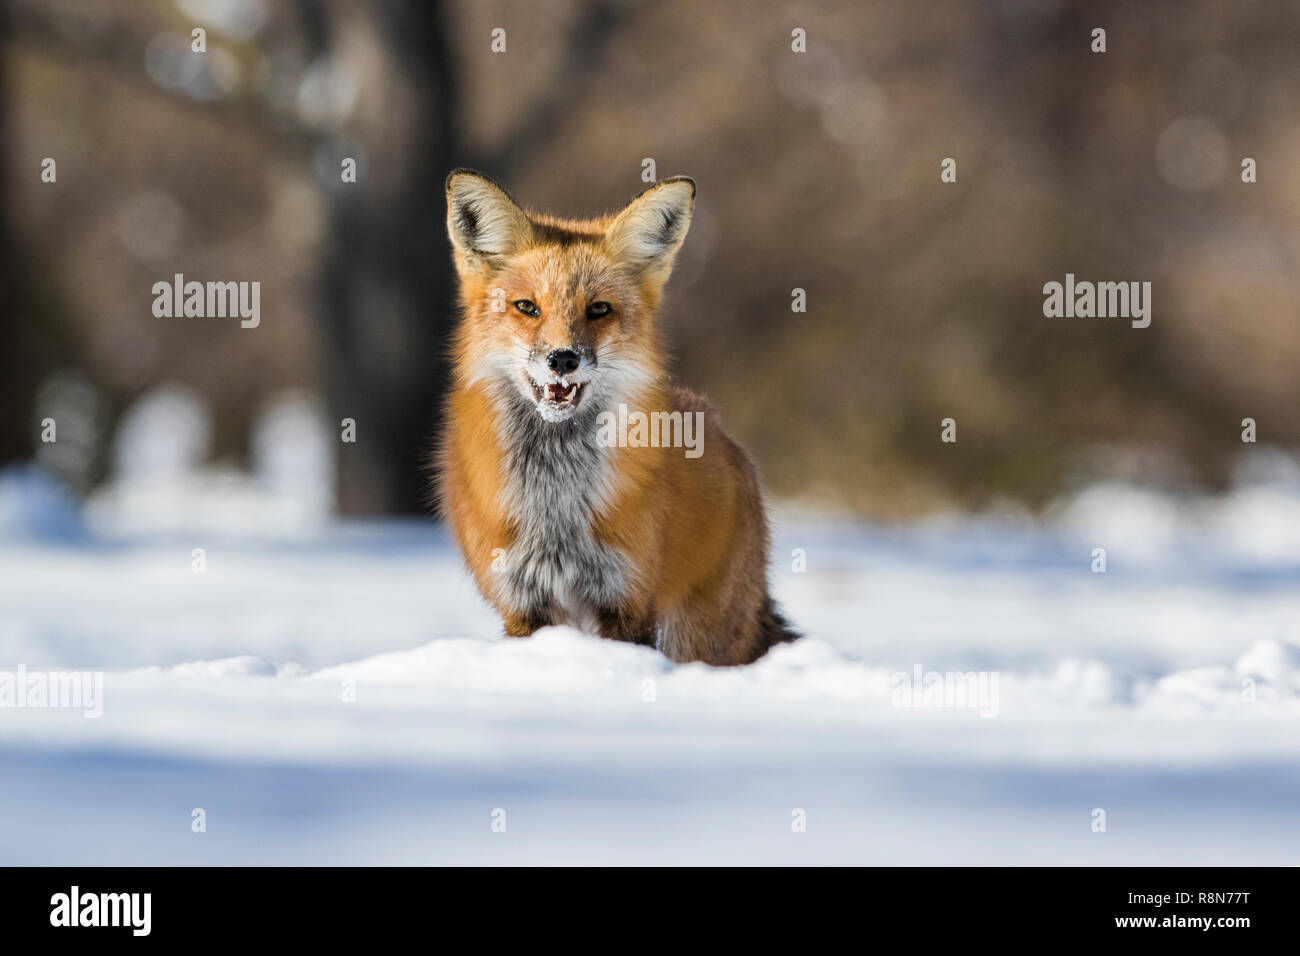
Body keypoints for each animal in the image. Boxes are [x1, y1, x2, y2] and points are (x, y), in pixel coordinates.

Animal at [435, 169, 798, 665]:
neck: (556, 506)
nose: (562, 359)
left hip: (699, 636)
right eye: (527, 307)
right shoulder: (522, 604)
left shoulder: (627, 599)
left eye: (599, 310)